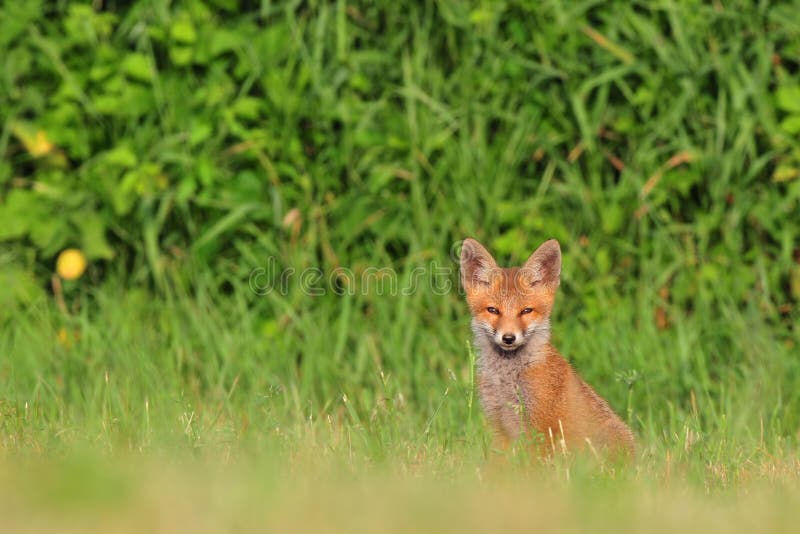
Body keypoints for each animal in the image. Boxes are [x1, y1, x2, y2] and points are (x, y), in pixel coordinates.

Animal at [460, 237, 635, 459]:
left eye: (526, 311)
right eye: (493, 310)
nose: (508, 338)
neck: (507, 378)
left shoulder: (542, 427)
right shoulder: (500, 426)